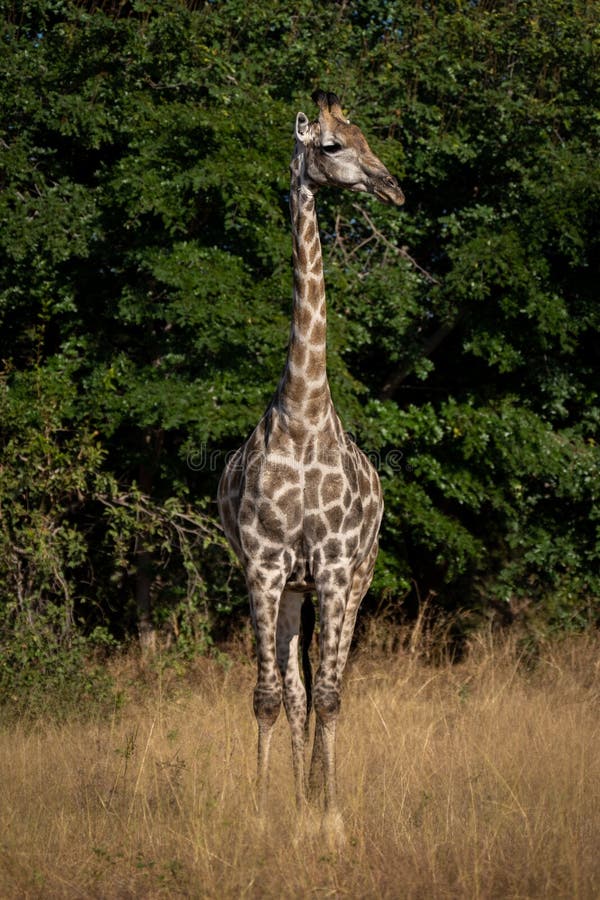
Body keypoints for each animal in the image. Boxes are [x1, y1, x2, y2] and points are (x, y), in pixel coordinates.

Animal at [218, 90, 404, 833]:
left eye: (365, 135)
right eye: (330, 145)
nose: (393, 187)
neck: (303, 413)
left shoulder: (332, 566)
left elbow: (328, 695)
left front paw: (330, 820)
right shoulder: (266, 566)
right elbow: (272, 696)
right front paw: (269, 810)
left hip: (359, 577)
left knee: (335, 685)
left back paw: (321, 797)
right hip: (296, 589)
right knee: (297, 691)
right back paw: (298, 796)